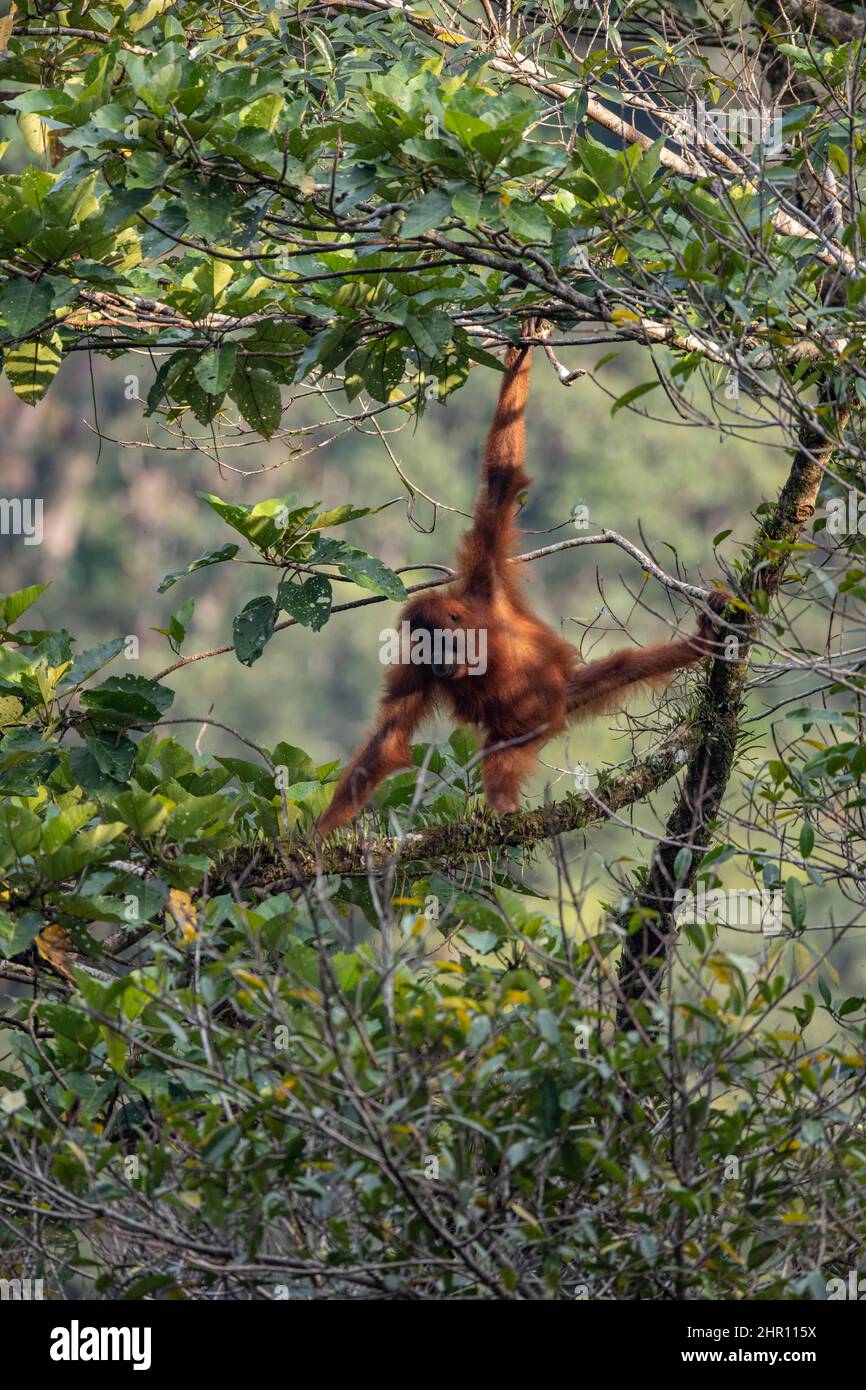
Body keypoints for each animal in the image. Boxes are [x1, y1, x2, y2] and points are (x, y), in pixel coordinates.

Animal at [317, 332, 724, 835]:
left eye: (438, 643)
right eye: (425, 649)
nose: (437, 664)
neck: (475, 631)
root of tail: (558, 705)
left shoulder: (485, 577)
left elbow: (500, 481)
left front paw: (522, 351)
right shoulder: (416, 668)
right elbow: (389, 738)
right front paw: (317, 835)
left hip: (540, 712)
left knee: (624, 667)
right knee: (507, 750)